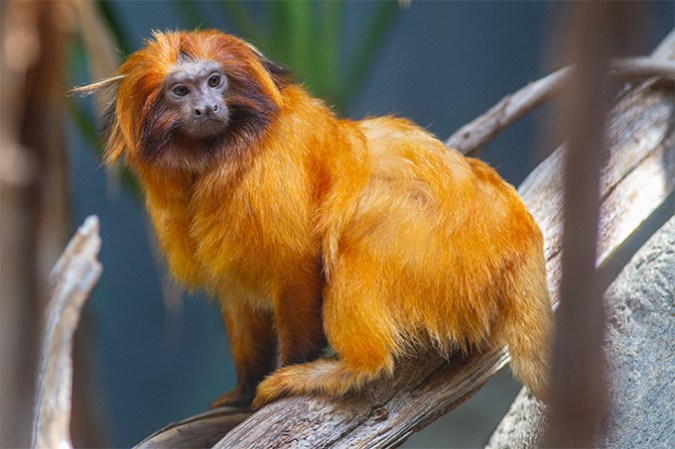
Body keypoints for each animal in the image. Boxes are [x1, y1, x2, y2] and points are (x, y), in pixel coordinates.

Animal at [76, 29, 553, 409]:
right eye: (181, 91)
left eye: (215, 81)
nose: (208, 107)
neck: (220, 158)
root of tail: (517, 233)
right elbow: (238, 299)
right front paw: (242, 392)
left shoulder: (273, 177)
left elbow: (298, 266)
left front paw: (286, 372)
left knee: (366, 222)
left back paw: (348, 368)